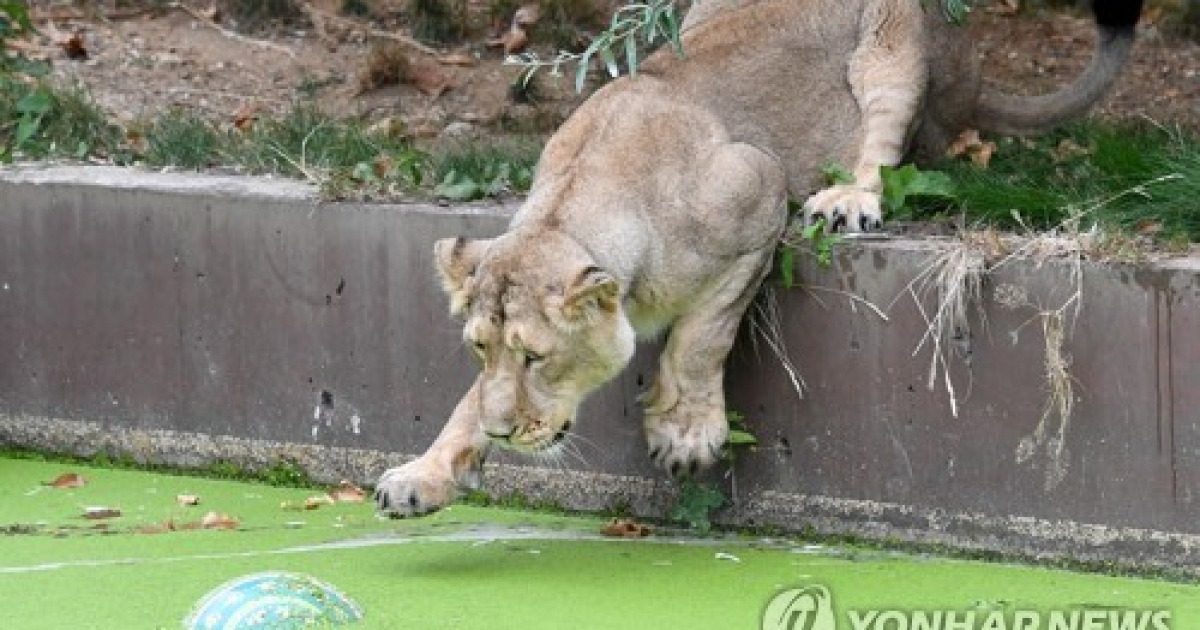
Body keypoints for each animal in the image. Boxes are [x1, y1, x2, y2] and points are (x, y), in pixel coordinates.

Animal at [375, 0, 1142, 517]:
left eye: (537, 357)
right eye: (480, 347)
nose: (505, 433)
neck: (573, 205)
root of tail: (968, 69)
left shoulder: (756, 196)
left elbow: (699, 338)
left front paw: (685, 433)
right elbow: (467, 401)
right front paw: (423, 473)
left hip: (891, 49)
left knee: (882, 151)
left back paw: (844, 201)